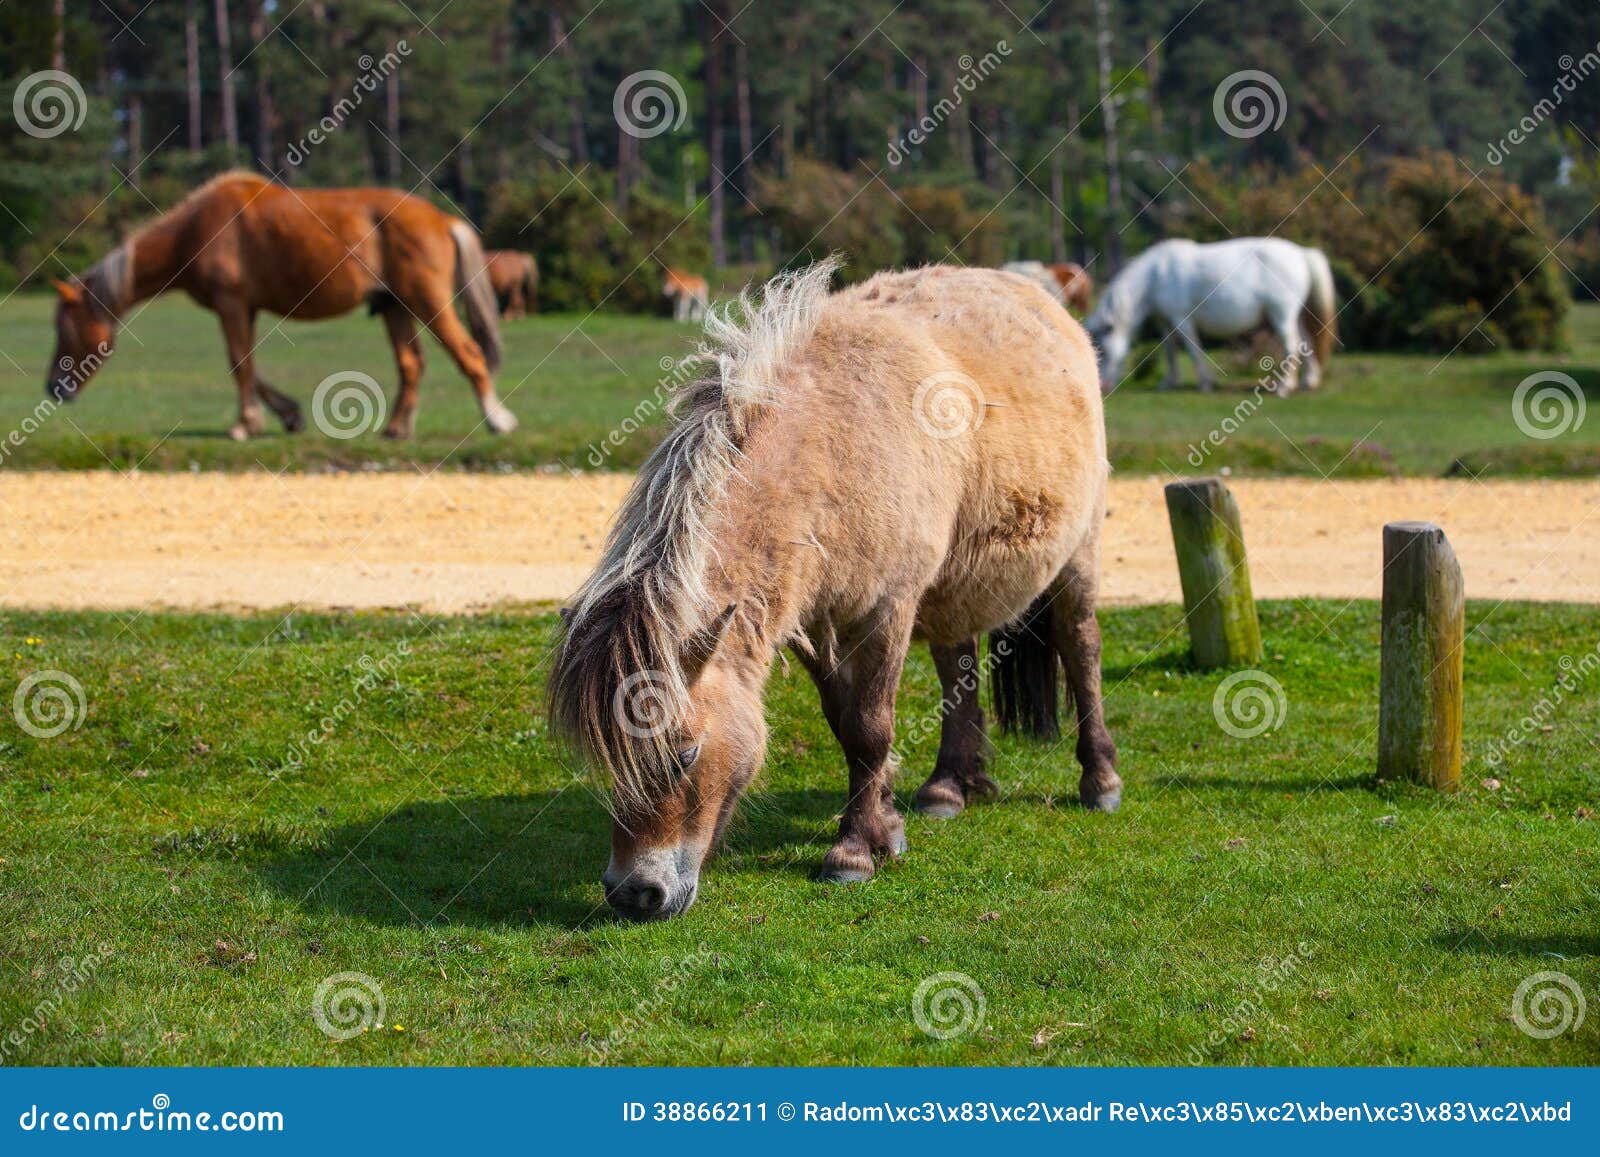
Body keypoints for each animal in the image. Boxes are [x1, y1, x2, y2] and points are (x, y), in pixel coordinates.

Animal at [46, 171, 516, 441]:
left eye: (63, 328)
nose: (54, 388)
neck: (197, 226)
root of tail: (442, 219)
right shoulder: (246, 310)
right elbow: (250, 367)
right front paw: (287, 415)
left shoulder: (232, 305)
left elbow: (240, 364)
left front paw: (246, 424)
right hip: (396, 307)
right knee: (411, 364)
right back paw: (398, 429)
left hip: (428, 301)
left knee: (469, 353)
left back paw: (497, 420)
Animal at [549, 260, 1119, 922]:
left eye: (684, 754)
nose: (635, 894)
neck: (831, 447)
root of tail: (1043, 300)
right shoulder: (809, 625)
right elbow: (845, 723)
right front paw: (884, 825)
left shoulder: (887, 610)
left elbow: (871, 727)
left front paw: (852, 853)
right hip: (952, 588)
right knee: (958, 665)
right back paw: (950, 786)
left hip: (1078, 558)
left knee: (1081, 648)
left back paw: (1100, 780)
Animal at [1084, 237, 1335, 395]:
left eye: (1102, 350)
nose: (1103, 386)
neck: (1156, 276)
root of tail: (1302, 254)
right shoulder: (1166, 322)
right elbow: (1170, 352)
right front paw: (1168, 382)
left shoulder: (1181, 319)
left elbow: (1193, 350)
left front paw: (1205, 382)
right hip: (1296, 317)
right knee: (1306, 342)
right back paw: (1309, 381)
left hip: (1281, 315)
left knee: (1292, 345)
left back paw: (1285, 387)